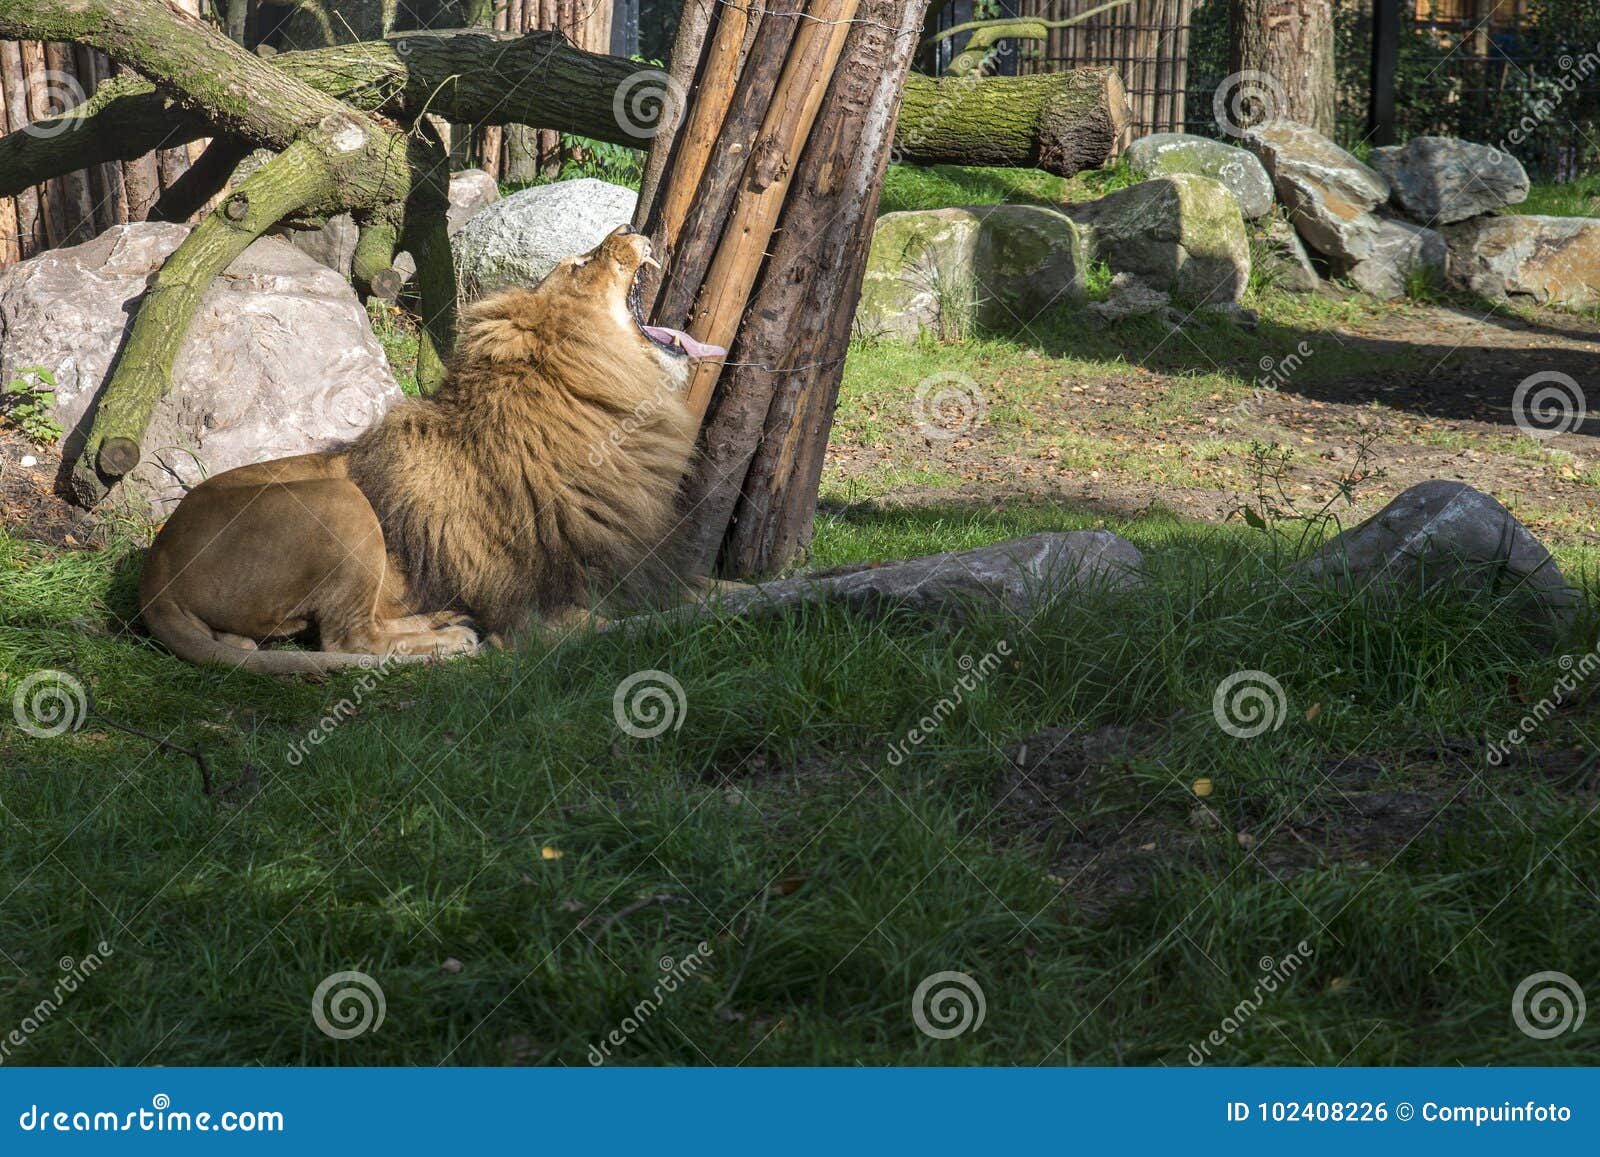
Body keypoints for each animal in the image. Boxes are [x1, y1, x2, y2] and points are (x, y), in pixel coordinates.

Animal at [138, 226, 724, 674]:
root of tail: (156, 566)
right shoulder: (540, 611)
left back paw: (445, 620)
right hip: (341, 503)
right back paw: (449, 641)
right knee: (349, 639)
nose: (629, 226)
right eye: (579, 264)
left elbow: (712, 585)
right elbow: (633, 626)